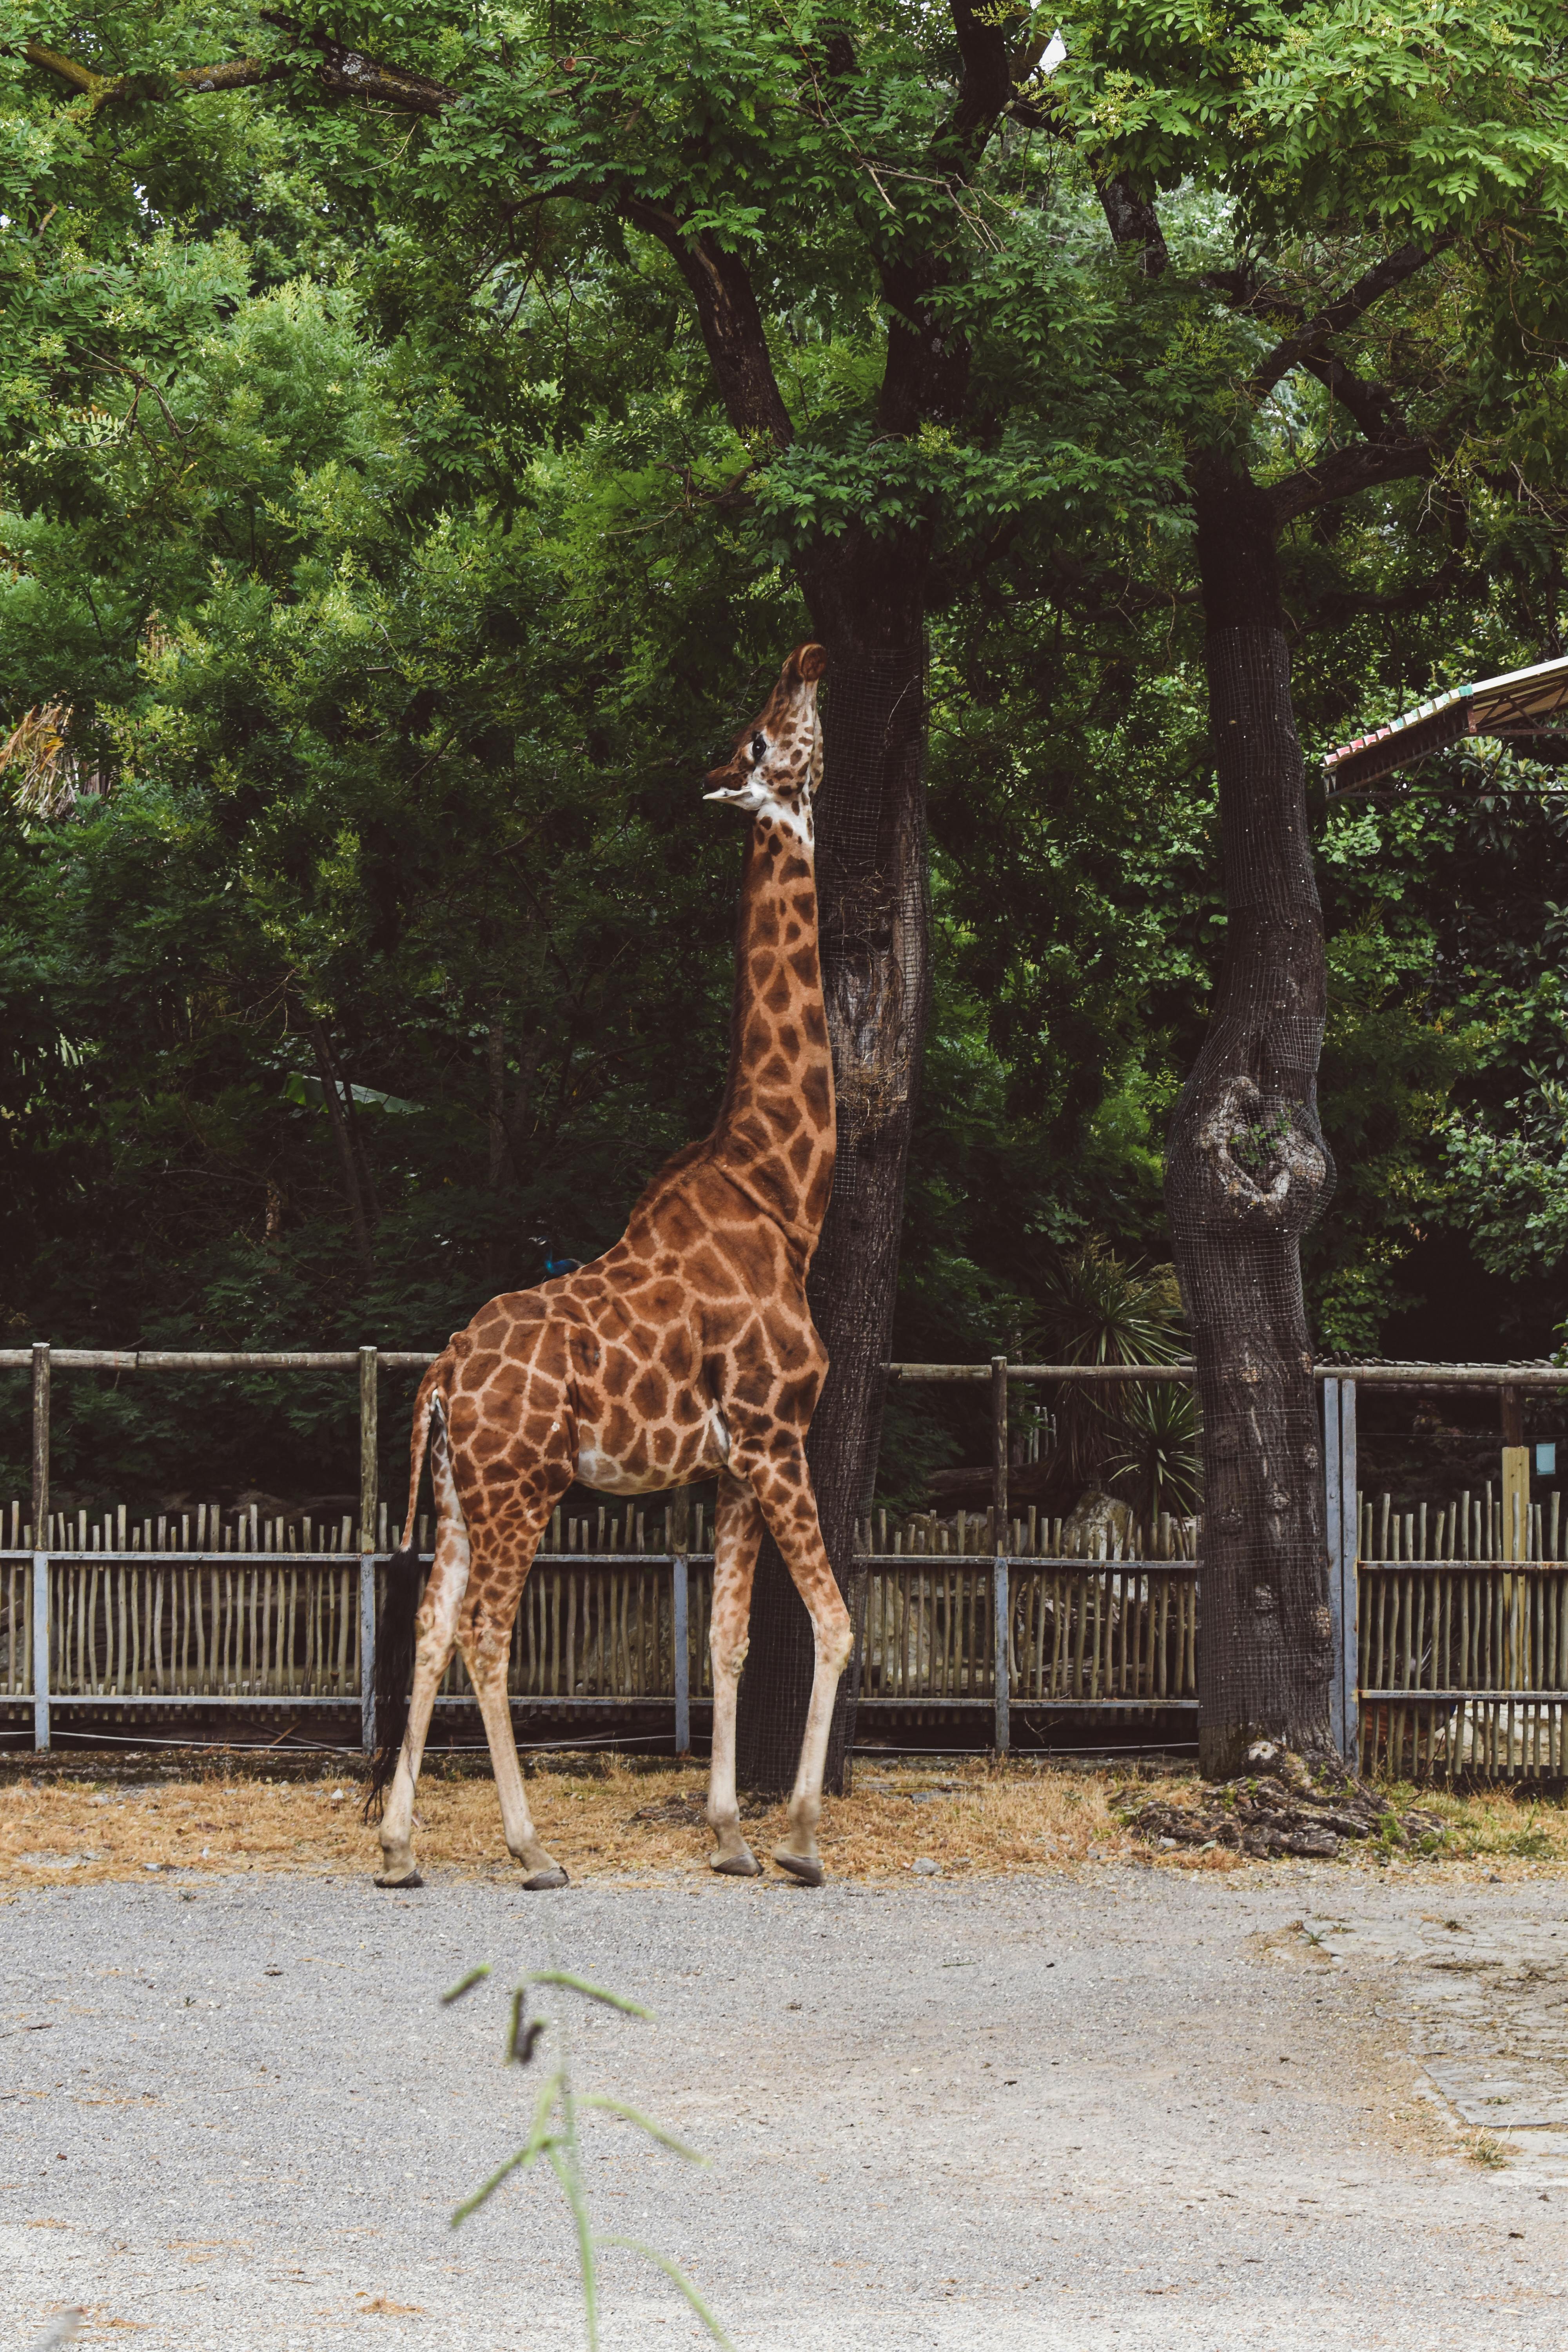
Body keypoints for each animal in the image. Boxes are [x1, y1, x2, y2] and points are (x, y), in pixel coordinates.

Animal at [367, 642, 854, 1890]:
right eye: (769, 734)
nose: (811, 655)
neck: (785, 1197)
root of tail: (440, 1376)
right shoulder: (778, 1434)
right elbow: (834, 1625)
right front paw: (800, 1840)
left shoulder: (733, 1464)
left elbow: (729, 1640)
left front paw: (732, 1836)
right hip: (523, 1484)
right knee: (485, 1631)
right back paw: (531, 1849)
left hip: (460, 1495)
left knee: (432, 1625)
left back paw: (398, 1848)